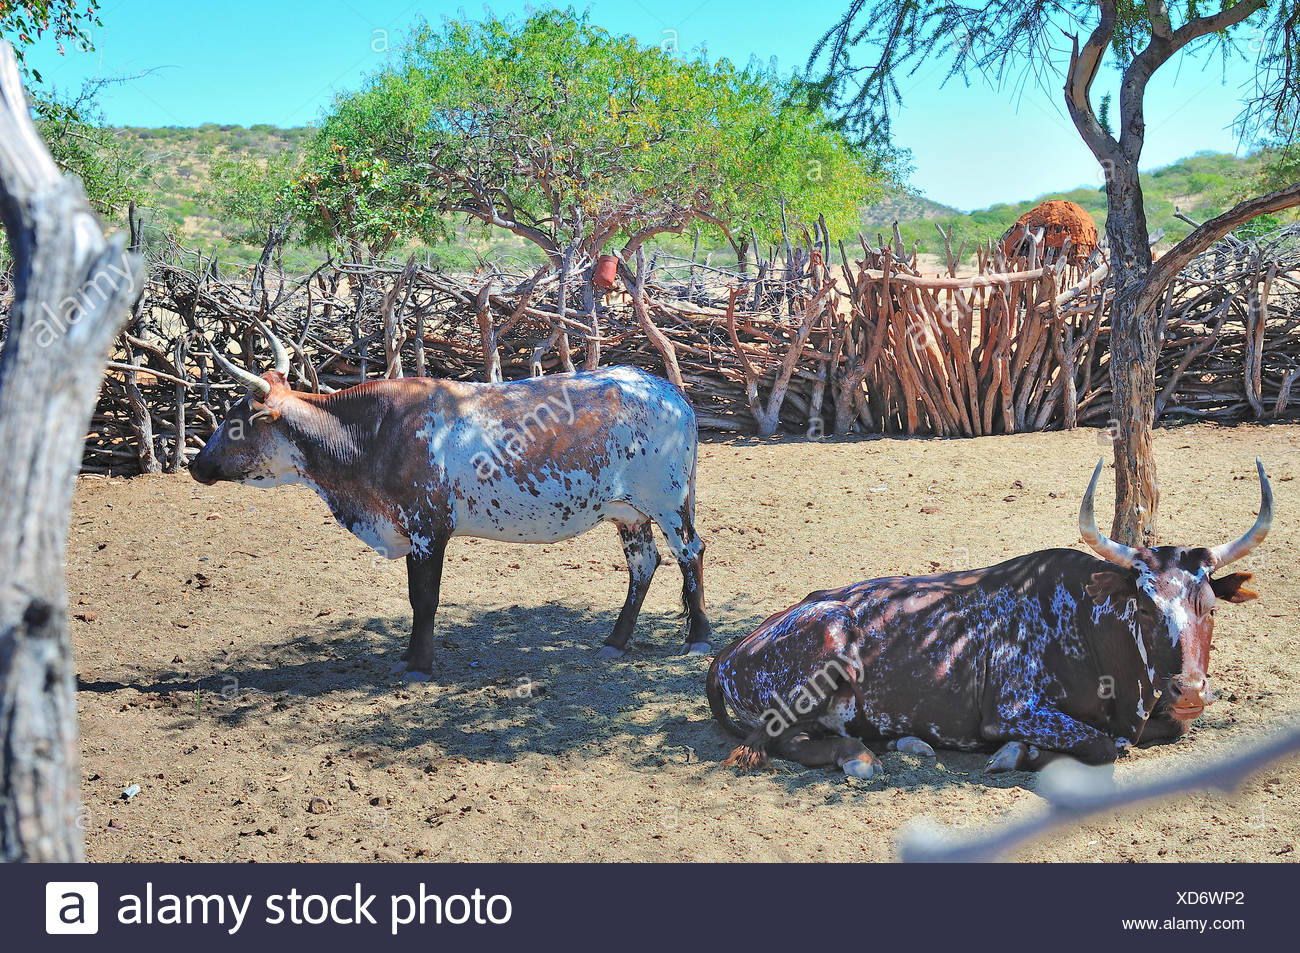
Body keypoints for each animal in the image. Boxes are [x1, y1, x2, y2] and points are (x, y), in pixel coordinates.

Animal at [190, 321, 712, 677]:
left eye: (236, 422)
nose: (196, 465)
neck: (369, 434)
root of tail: (669, 391)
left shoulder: (428, 530)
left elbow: (424, 598)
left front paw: (419, 664)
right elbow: (414, 597)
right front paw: (408, 656)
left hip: (668, 502)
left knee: (690, 552)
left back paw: (699, 639)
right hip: (628, 513)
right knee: (643, 564)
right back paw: (615, 641)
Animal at [707, 460, 1271, 779]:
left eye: (1209, 607)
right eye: (1146, 606)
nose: (1190, 690)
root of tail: (731, 651)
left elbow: (1162, 729)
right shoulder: (1012, 710)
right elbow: (1103, 744)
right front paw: (1017, 754)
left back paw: (903, 741)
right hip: (825, 650)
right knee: (784, 741)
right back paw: (859, 756)